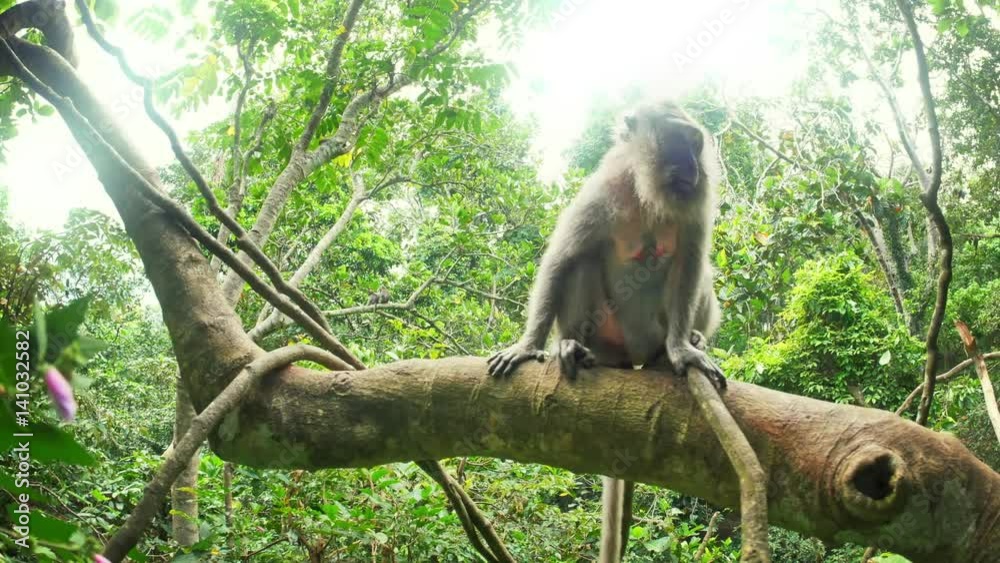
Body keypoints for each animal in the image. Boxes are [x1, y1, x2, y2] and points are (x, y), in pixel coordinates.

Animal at [486, 101, 724, 563]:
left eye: (695, 142)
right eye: (678, 139)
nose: (693, 165)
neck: (646, 193)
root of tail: (630, 358)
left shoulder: (695, 208)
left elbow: (689, 265)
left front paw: (683, 349)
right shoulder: (601, 192)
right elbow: (561, 259)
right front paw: (527, 346)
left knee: (699, 275)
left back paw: (673, 350)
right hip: (609, 334)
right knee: (582, 260)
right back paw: (575, 347)